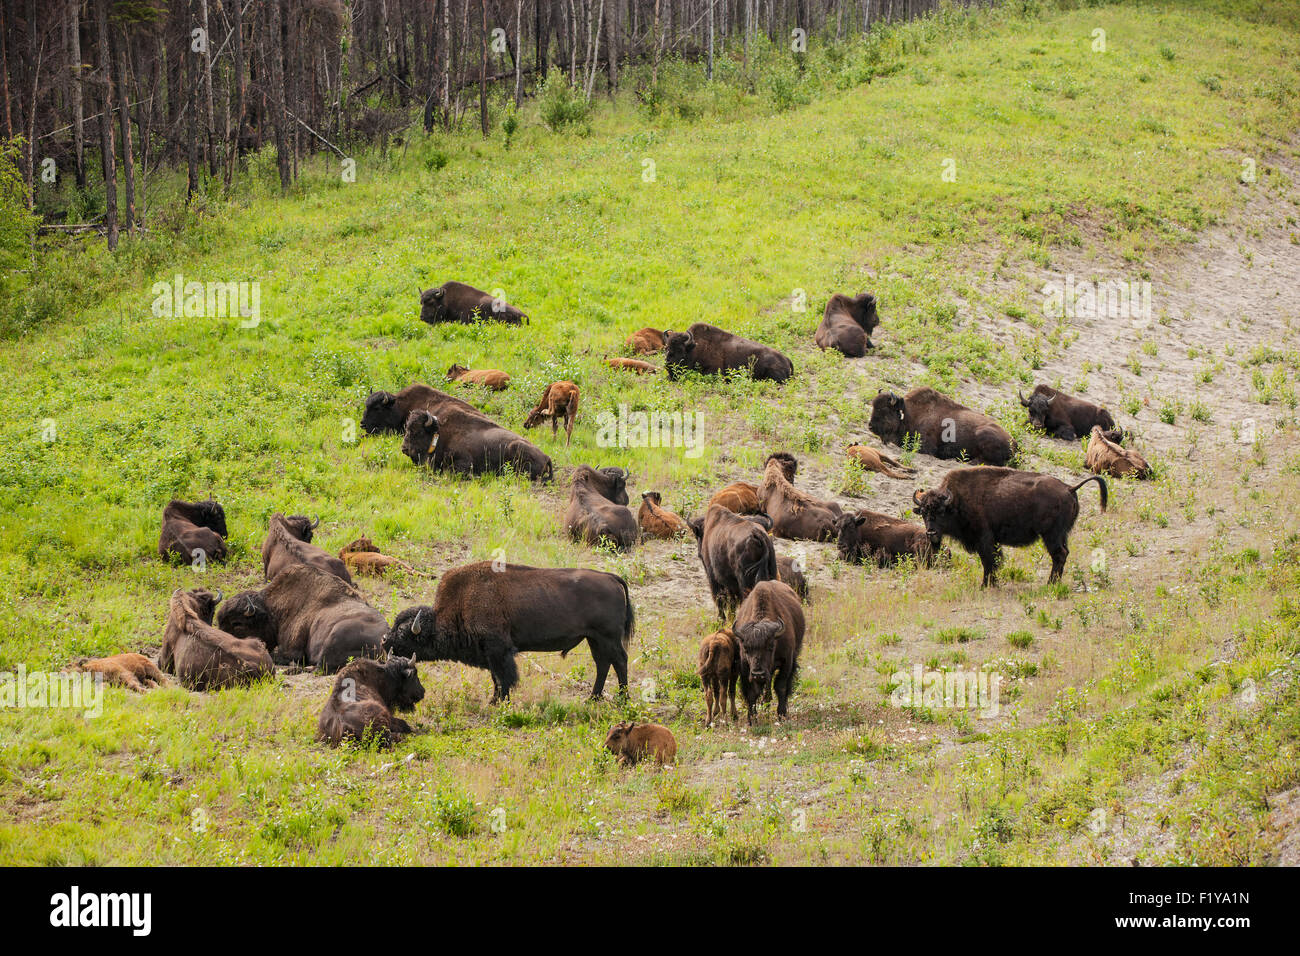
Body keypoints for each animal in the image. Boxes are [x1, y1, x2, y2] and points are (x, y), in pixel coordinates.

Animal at [383, 562, 635, 701]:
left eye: (404, 633)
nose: (385, 641)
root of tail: (611, 577)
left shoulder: (499, 650)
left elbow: (504, 677)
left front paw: (501, 701)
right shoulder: (489, 654)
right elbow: (496, 678)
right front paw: (495, 700)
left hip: (607, 638)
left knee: (620, 661)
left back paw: (622, 699)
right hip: (594, 639)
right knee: (603, 664)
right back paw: (593, 698)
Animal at [870, 387, 1015, 466]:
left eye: (884, 409)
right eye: (873, 406)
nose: (870, 426)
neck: (909, 413)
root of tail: (1015, 443)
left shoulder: (926, 447)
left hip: (982, 433)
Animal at [913, 467, 1107, 586]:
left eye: (941, 511)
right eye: (922, 512)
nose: (930, 532)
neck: (957, 502)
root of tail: (1069, 488)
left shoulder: (985, 540)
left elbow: (989, 562)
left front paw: (985, 585)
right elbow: (992, 562)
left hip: (1051, 535)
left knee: (1059, 554)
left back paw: (1050, 584)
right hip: (1062, 534)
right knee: (1063, 554)